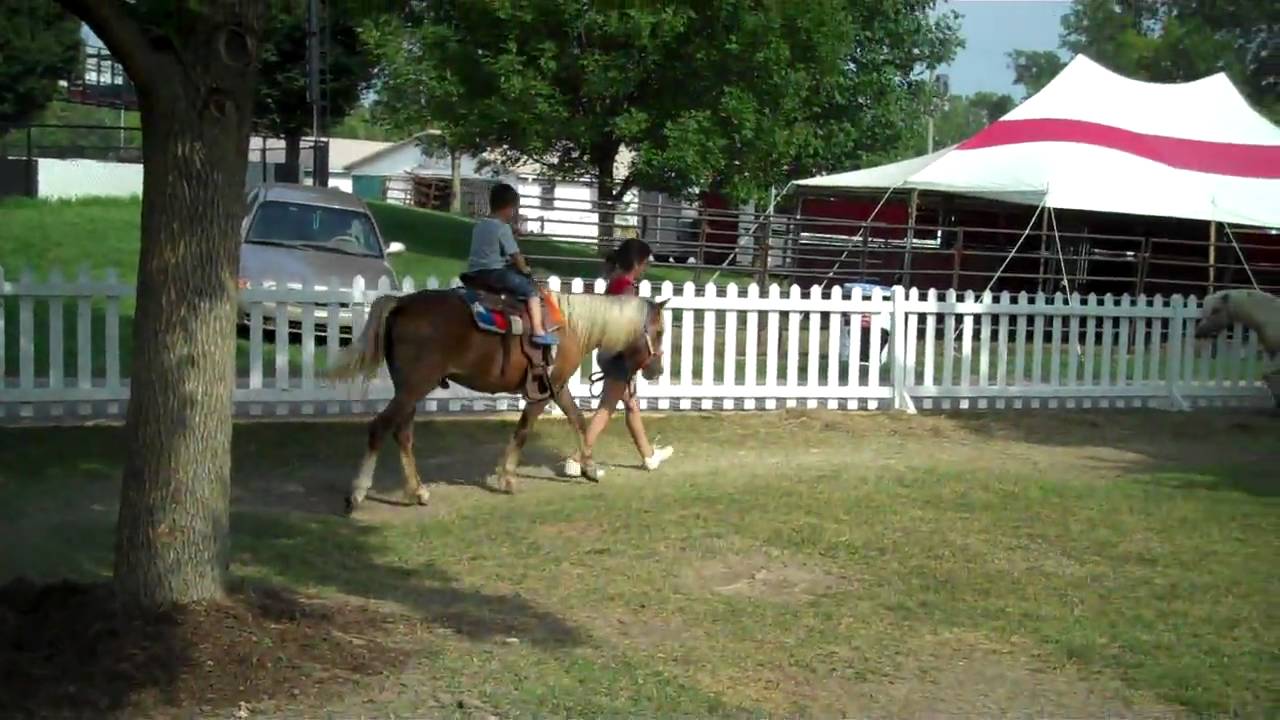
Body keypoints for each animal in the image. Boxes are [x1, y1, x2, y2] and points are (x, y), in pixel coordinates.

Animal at [324, 285, 668, 514]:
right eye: (661, 330)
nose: (657, 370)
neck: (569, 327)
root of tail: (401, 303)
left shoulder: (559, 387)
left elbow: (578, 420)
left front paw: (590, 468)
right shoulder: (543, 391)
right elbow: (524, 431)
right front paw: (508, 478)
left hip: (409, 389)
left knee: (403, 433)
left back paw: (417, 490)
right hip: (414, 387)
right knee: (380, 428)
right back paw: (357, 492)